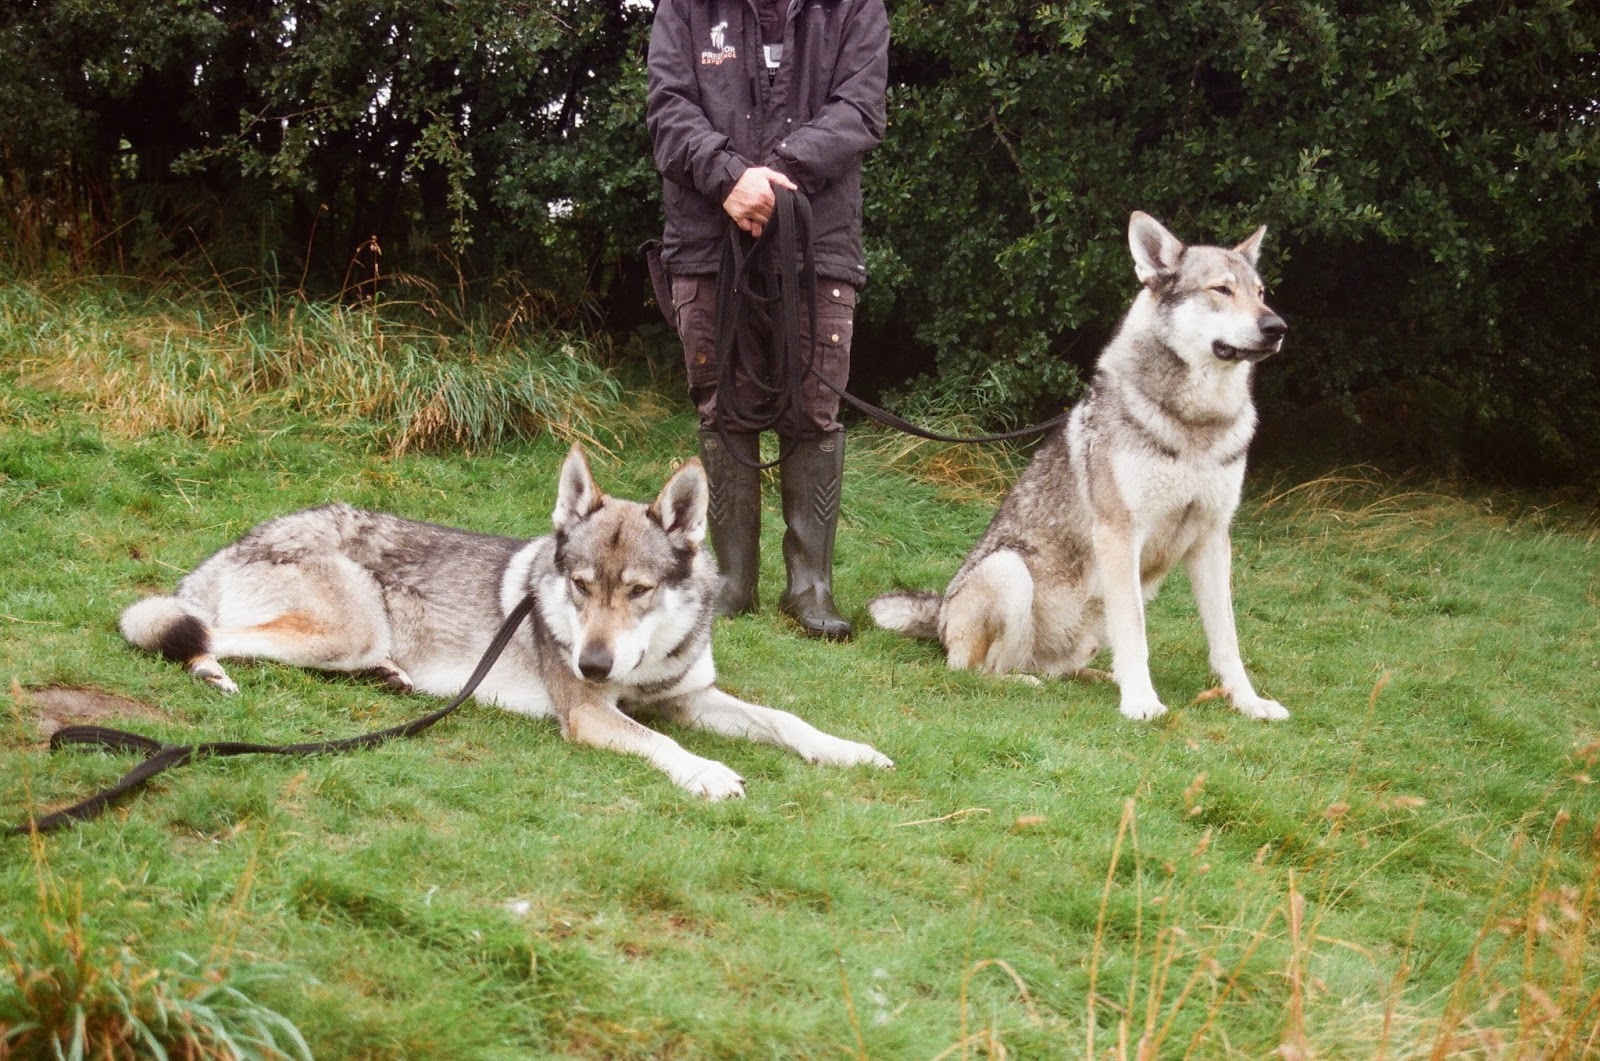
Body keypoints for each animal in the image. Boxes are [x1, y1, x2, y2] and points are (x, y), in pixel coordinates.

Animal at [120, 446, 893, 799]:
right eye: (581, 587)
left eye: (638, 591)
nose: (592, 664)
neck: (642, 664)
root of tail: (237, 543)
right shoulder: (590, 713)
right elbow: (660, 742)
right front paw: (706, 773)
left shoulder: (692, 696)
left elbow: (787, 720)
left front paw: (852, 751)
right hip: (346, 628)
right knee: (196, 628)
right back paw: (209, 669)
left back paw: (390, 677)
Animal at [869, 211, 1289, 722]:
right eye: (1221, 290)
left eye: (1261, 292)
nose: (1277, 327)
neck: (1195, 424)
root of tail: (941, 616)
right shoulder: (1119, 535)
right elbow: (1137, 633)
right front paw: (1141, 702)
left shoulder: (1213, 538)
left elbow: (1227, 641)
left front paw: (1248, 702)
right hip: (1009, 571)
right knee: (979, 672)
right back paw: (1027, 683)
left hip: (1090, 626)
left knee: (1060, 670)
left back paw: (1096, 679)